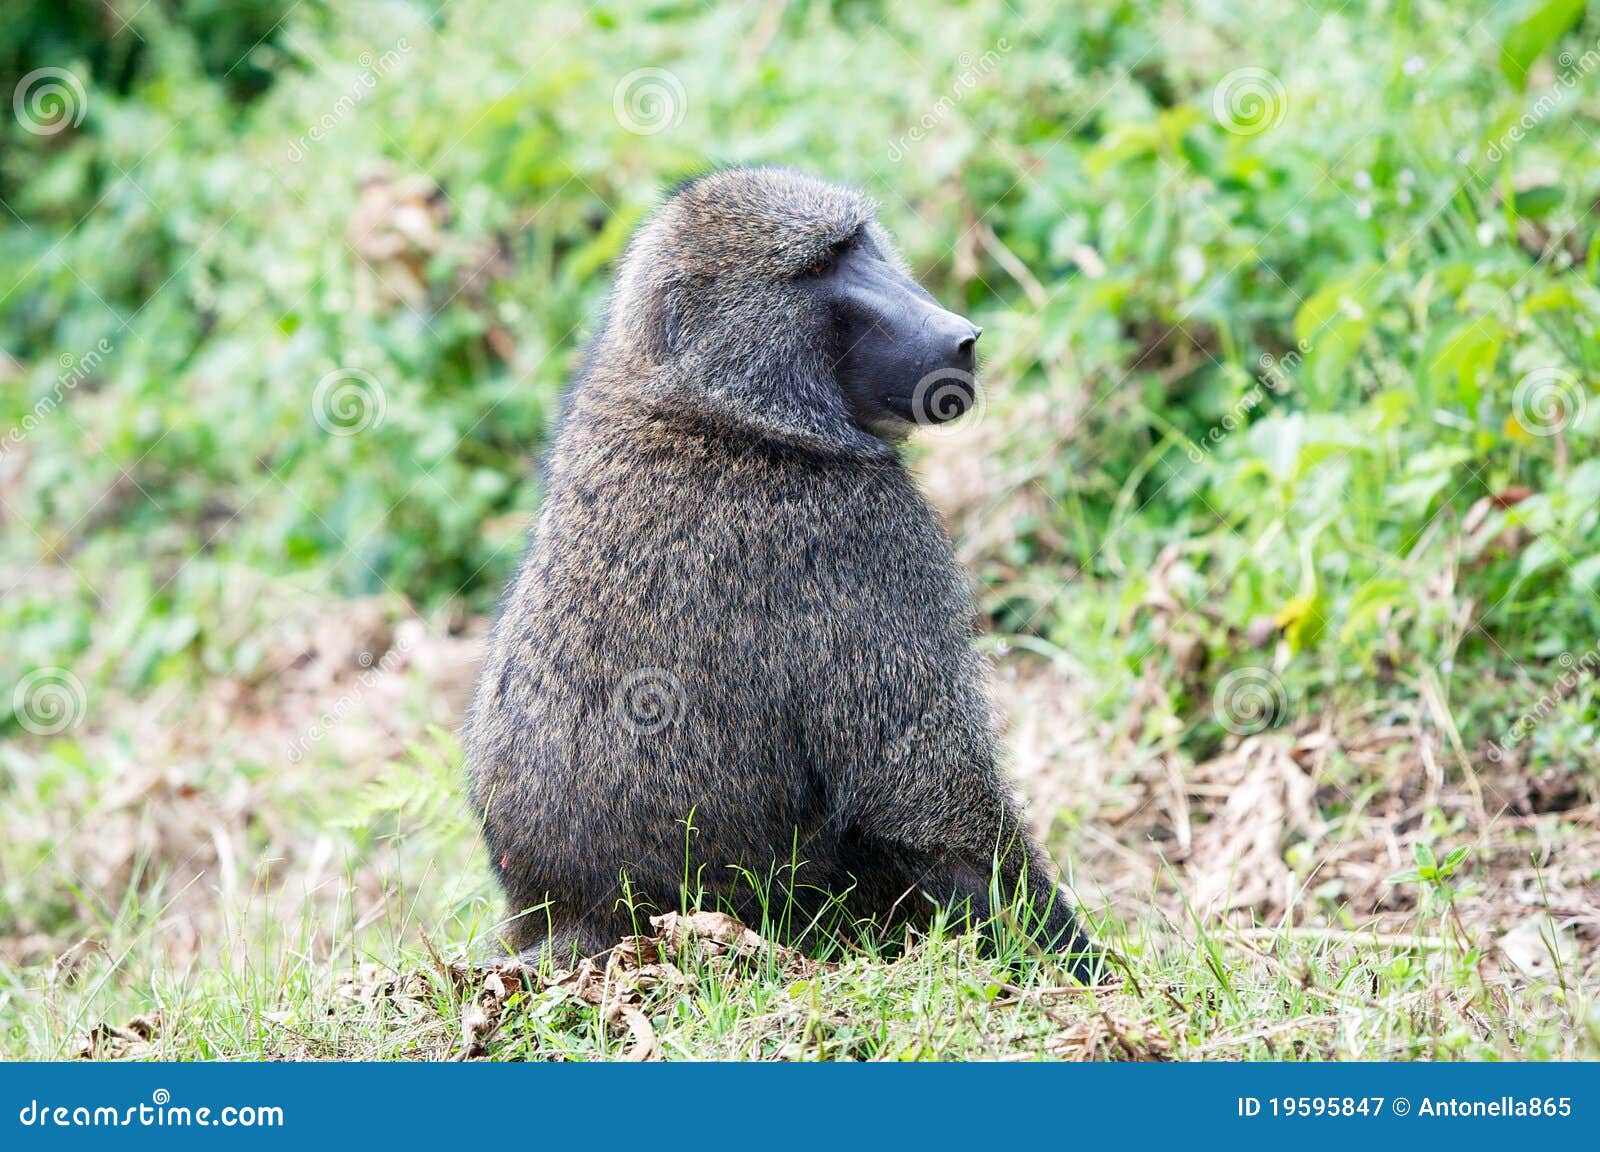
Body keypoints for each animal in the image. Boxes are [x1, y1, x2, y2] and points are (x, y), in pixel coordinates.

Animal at [465, 166, 1095, 977]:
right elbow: (926, 801)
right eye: (817, 270)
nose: (959, 336)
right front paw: (1083, 968)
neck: (712, 406)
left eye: (856, 245)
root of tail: (566, 918)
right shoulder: (867, 534)